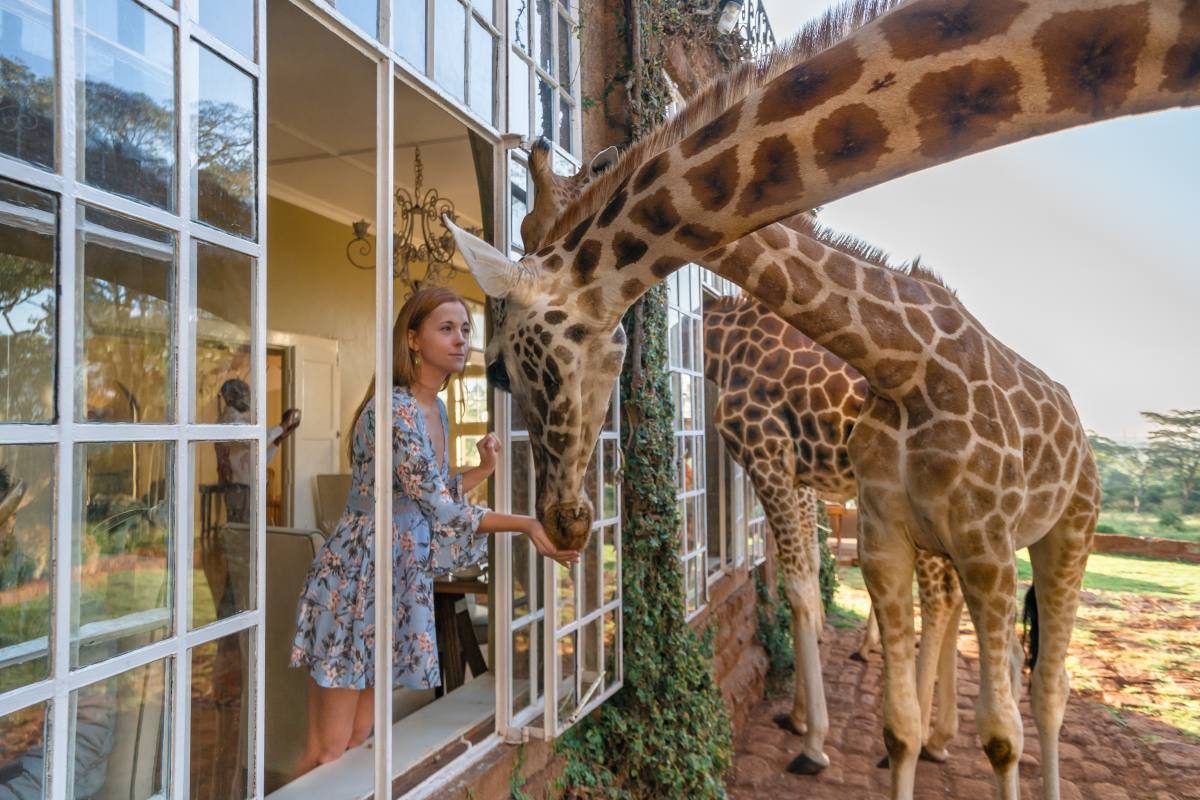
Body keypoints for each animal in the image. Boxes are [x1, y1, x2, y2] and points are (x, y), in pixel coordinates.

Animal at [519, 141, 970, 772]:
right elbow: (802, 580)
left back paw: (919, 738)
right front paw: (800, 716)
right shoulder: (799, 470)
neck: (719, 342)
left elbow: (801, 589)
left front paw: (813, 744)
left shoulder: (767, 450)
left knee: (941, 594)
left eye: (531, 226)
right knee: (954, 594)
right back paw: (940, 732)